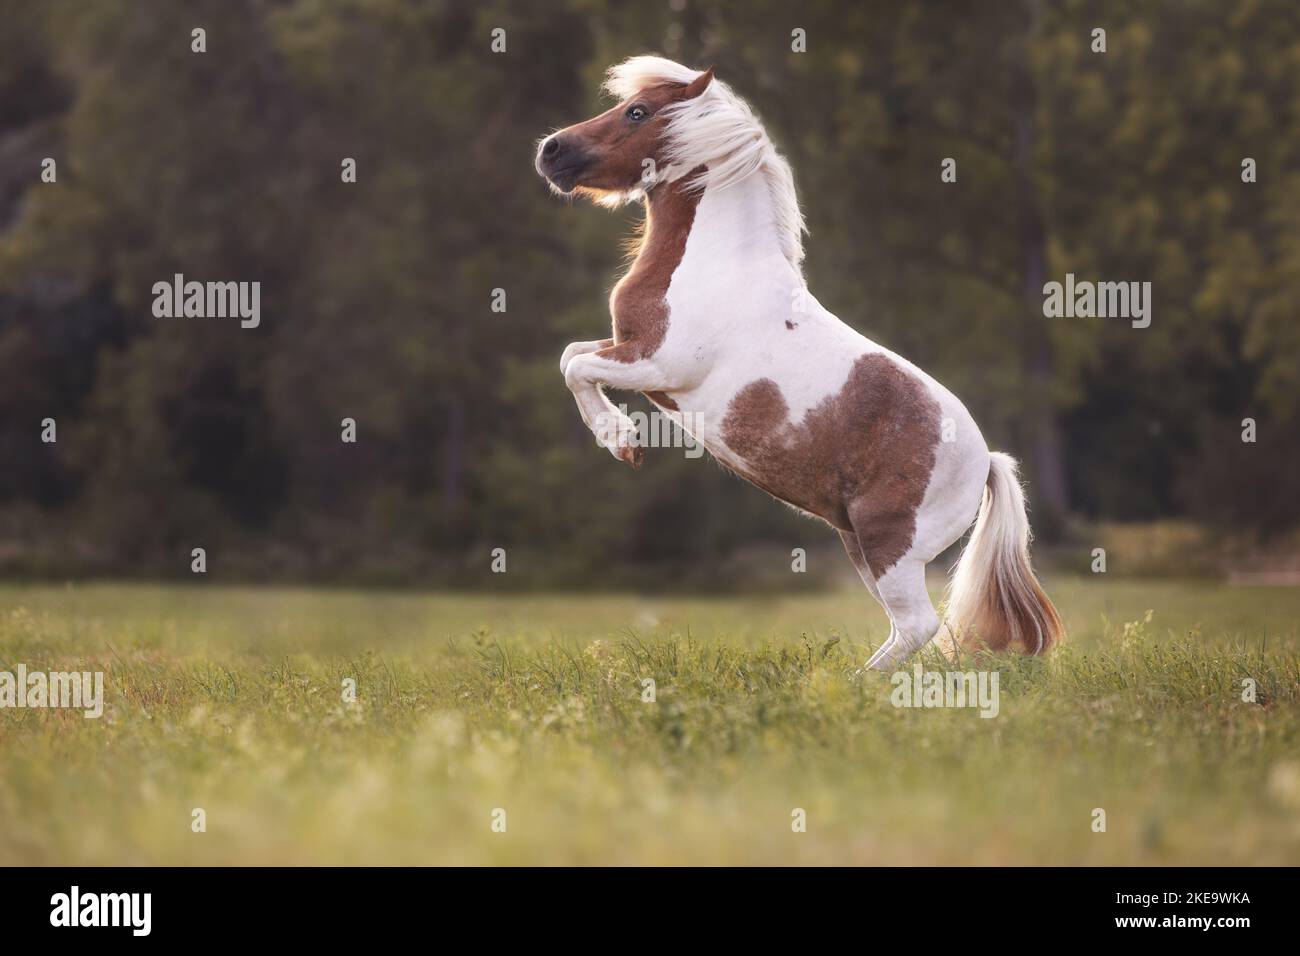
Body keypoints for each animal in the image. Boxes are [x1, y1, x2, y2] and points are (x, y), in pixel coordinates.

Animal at [535, 56, 1064, 670]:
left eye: (637, 112)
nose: (550, 150)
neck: (713, 265)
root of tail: (987, 463)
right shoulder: (632, 351)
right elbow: (572, 356)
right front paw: (620, 437)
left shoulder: (659, 368)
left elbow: (576, 369)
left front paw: (622, 441)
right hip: (858, 543)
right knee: (903, 630)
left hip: (891, 546)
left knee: (918, 627)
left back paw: (850, 684)